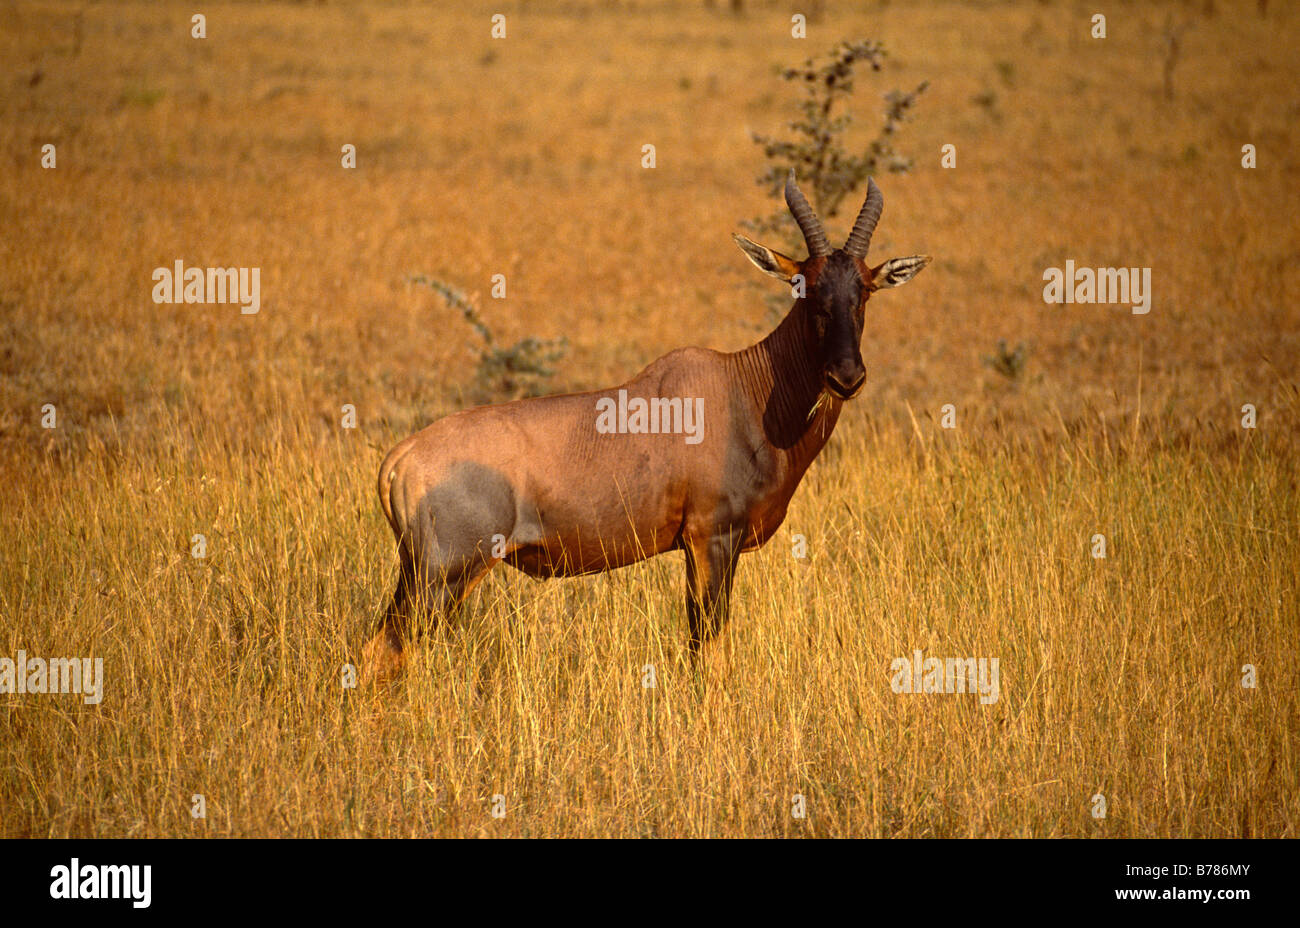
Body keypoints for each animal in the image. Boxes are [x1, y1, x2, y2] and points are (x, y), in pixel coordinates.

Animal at [362, 172, 929, 683]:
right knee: (384, 651)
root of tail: (399, 459)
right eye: (805, 288)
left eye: (865, 291)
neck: (743, 389)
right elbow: (710, 648)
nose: (846, 376)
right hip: (443, 576)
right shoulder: (713, 537)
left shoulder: (693, 548)